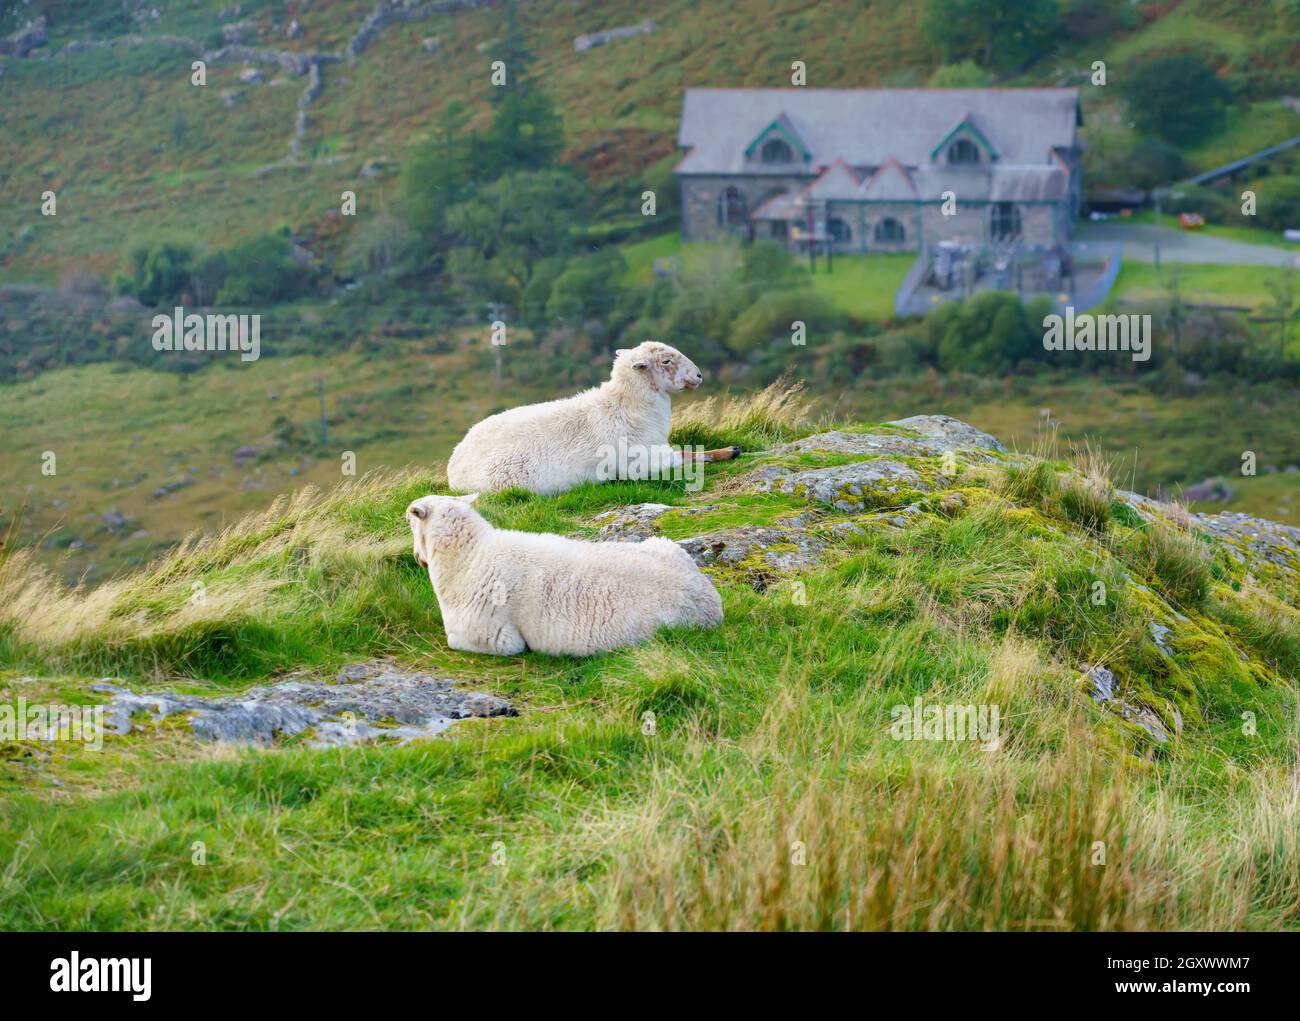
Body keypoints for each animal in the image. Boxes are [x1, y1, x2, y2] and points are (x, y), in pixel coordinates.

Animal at [406, 493, 723, 657]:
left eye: (409, 522)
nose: (417, 558)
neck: (469, 558)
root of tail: (711, 601)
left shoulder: (495, 637)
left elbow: (454, 640)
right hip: (663, 545)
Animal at [446, 341, 740, 496]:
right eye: (666, 361)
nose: (699, 375)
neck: (623, 405)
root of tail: (454, 462)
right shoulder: (644, 461)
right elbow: (690, 455)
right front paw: (729, 451)